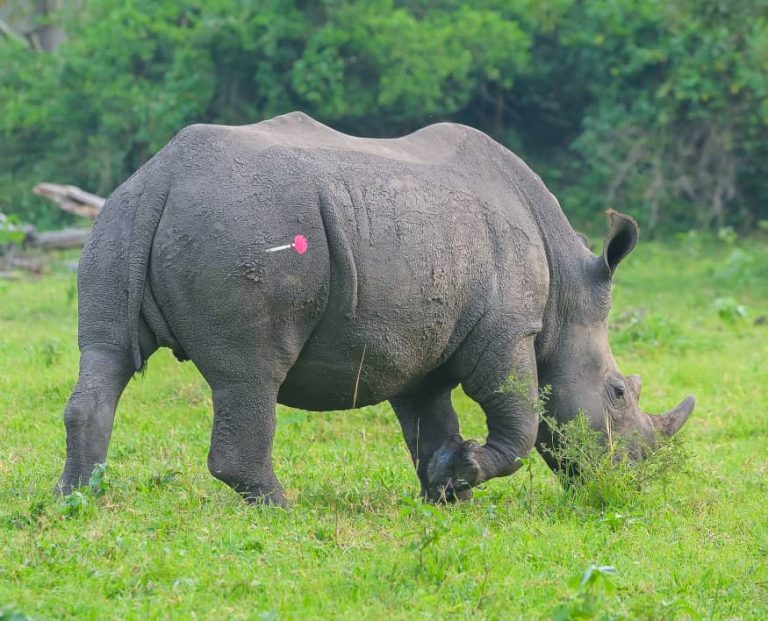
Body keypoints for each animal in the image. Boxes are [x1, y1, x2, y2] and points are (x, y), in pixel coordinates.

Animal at [58, 112, 694, 505]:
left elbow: (431, 420)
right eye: (618, 393)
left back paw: (78, 500)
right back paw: (281, 508)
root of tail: (163, 177)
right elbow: (520, 417)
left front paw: (449, 489)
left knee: (107, 356)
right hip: (246, 225)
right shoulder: (509, 330)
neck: (566, 299)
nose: (630, 485)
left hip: (117, 219)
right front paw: (467, 473)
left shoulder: (420, 339)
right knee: (252, 373)